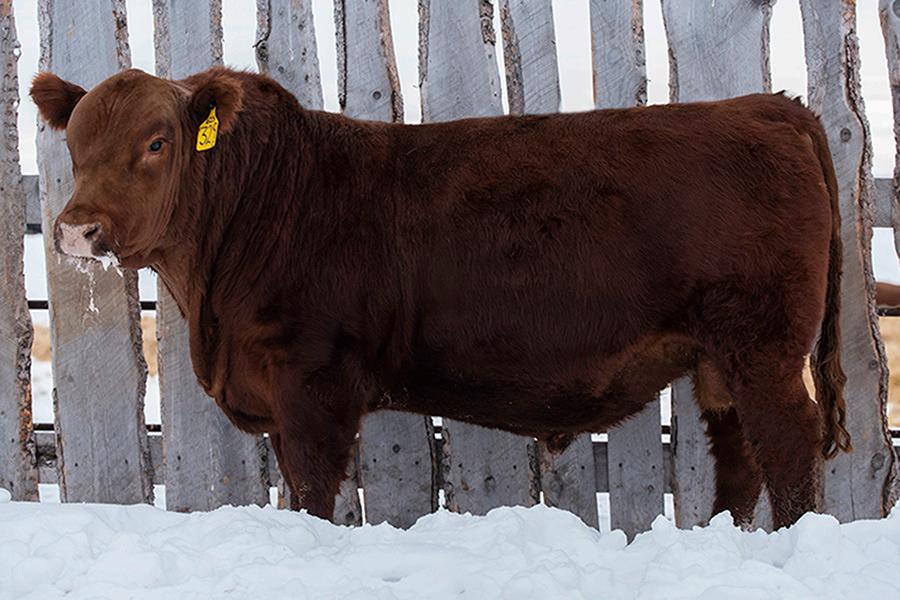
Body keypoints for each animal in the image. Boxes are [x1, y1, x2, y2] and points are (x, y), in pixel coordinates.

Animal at [31, 67, 849, 529]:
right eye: (73, 142)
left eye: (157, 142)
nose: (75, 229)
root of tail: (765, 106)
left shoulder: (312, 378)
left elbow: (313, 486)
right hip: (718, 355)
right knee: (739, 453)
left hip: (762, 341)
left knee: (787, 439)